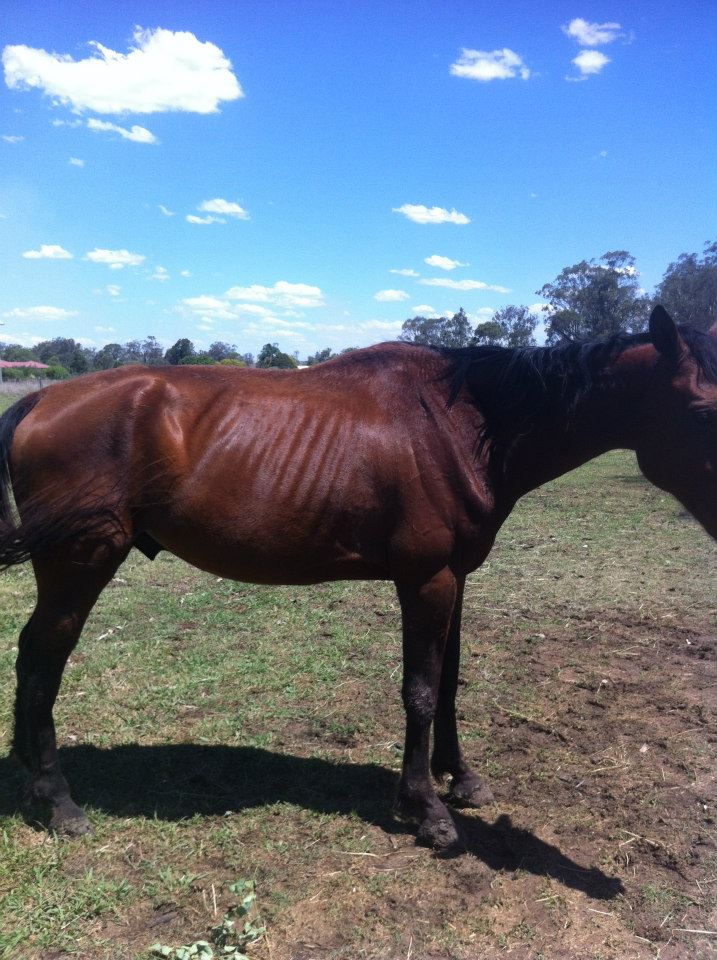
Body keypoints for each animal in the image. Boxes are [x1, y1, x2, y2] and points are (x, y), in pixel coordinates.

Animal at [0, 305, 715, 849]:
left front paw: (461, 778)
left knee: (29, 654)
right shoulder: (425, 580)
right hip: (81, 564)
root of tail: (41, 395)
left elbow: (449, 682)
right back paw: (58, 800)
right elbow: (420, 691)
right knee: (43, 658)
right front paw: (426, 809)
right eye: (702, 412)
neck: (460, 425)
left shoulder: (455, 578)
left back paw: (29, 775)